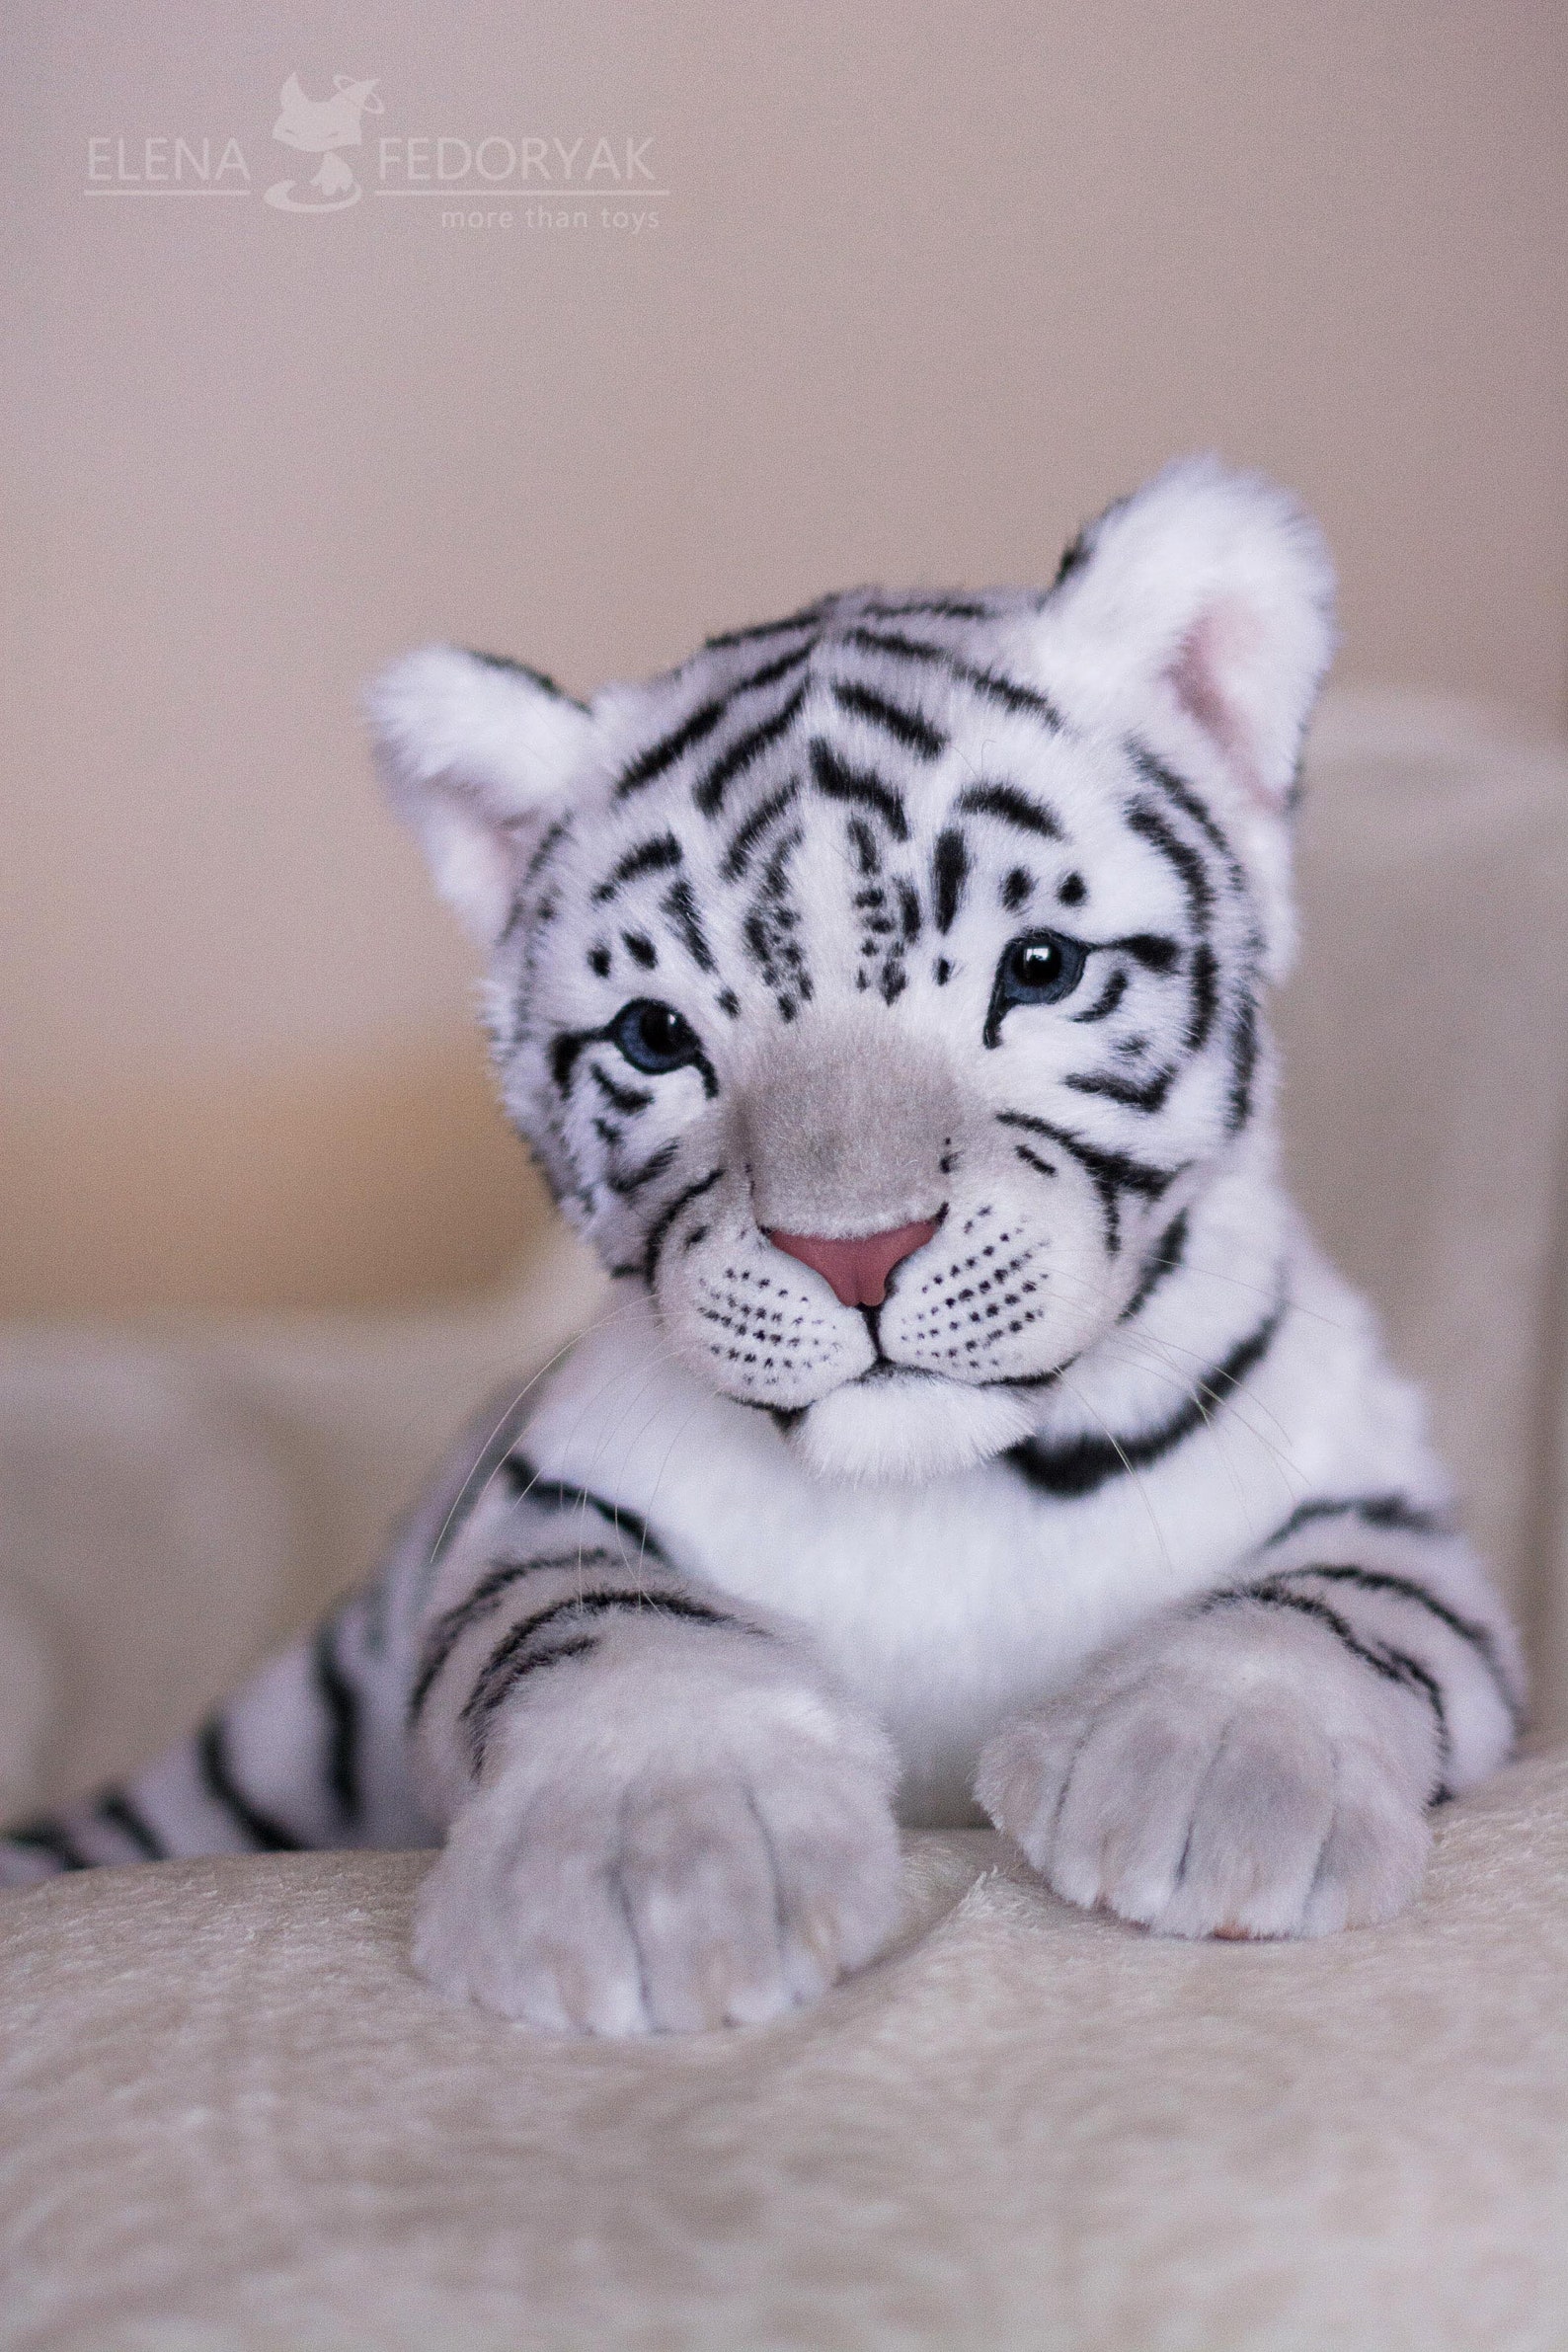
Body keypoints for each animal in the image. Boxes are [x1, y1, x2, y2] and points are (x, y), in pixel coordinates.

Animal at [1, 457, 1523, 2036]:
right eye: (658, 1036)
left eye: (1037, 969)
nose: (855, 1252)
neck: (945, 1488)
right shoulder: (536, 1519)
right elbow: (610, 1629)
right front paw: (660, 1872)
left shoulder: (1402, 1519)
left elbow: (1327, 1605)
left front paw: (1211, 1791)